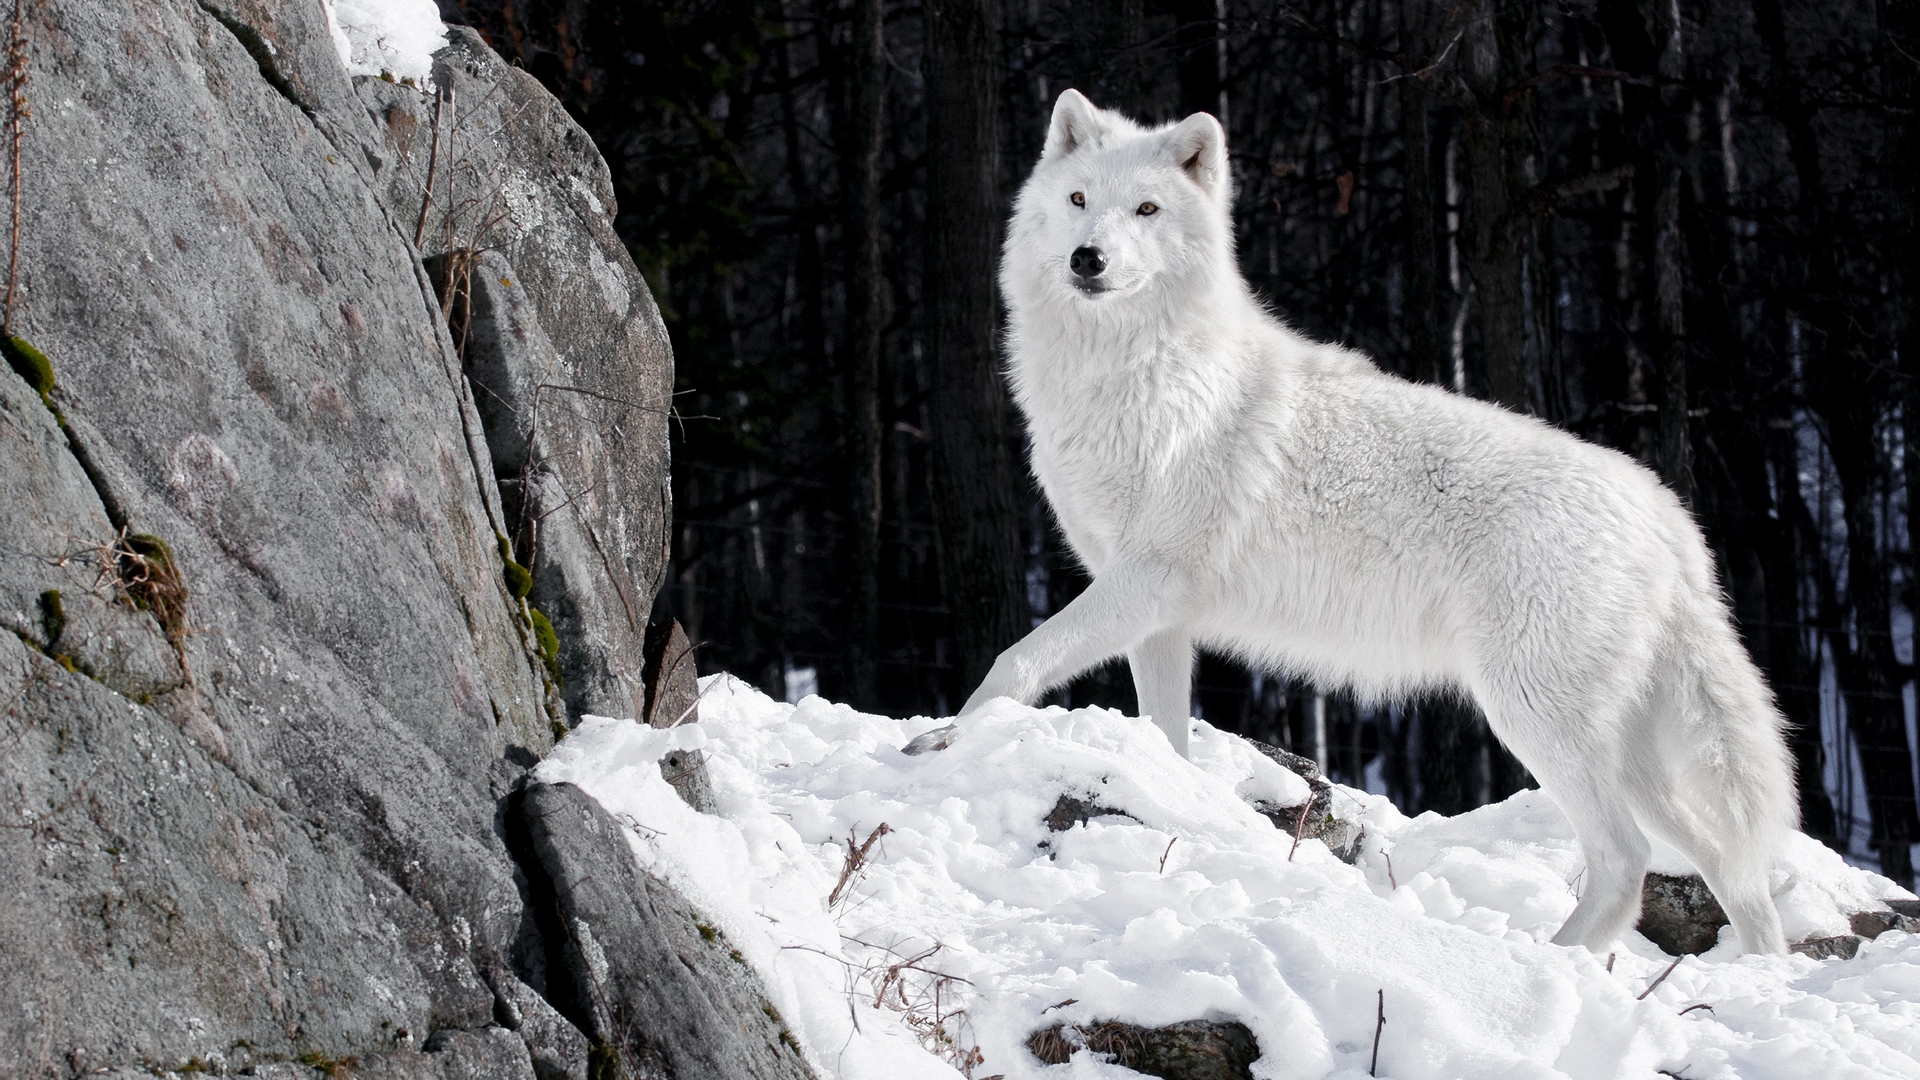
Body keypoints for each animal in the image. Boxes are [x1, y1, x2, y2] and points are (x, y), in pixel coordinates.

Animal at [961, 88, 1796, 955]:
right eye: (1078, 200)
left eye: (1147, 209)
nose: (1087, 258)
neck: (1135, 376)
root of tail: (1667, 512)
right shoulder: (1156, 615)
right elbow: (1165, 736)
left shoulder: (1146, 580)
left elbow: (1013, 664)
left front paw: (945, 743)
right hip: (1626, 754)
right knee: (1731, 867)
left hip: (1533, 717)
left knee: (1627, 860)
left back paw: (1548, 964)